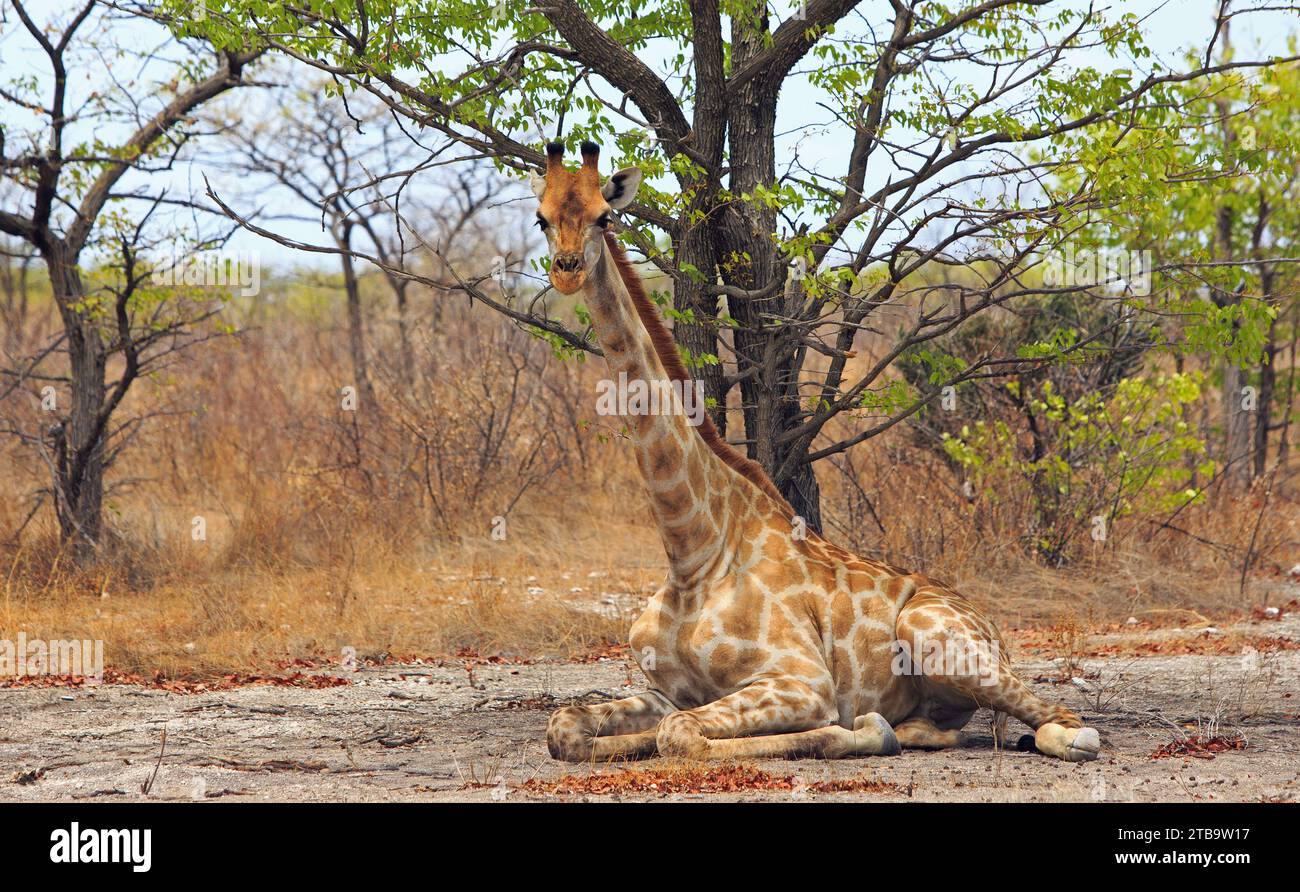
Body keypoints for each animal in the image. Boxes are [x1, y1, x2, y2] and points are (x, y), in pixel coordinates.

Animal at [531, 141, 1101, 764]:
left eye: (603, 218)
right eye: (541, 218)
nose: (567, 270)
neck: (691, 552)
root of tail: (992, 627)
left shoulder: (802, 680)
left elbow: (680, 736)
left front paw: (862, 731)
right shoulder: (668, 690)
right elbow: (566, 728)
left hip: (936, 638)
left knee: (1066, 722)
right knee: (946, 724)